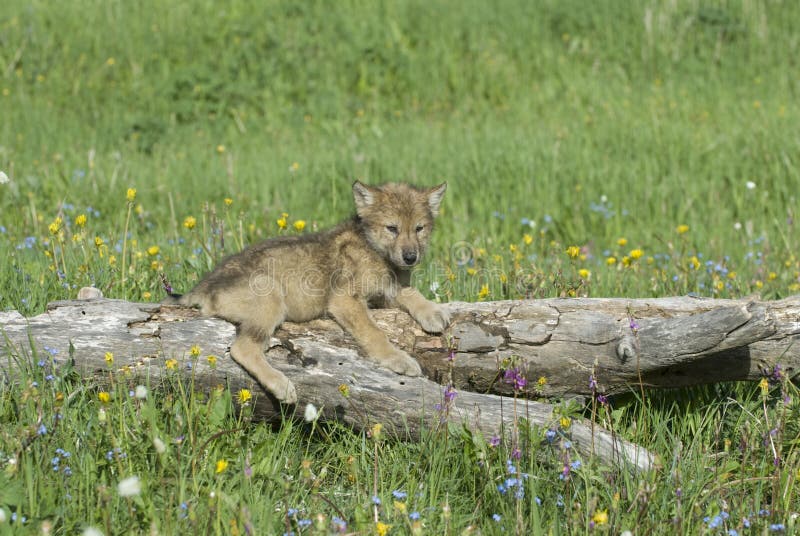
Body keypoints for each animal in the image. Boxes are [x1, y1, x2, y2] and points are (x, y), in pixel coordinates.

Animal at [174, 181, 450, 403]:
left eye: (419, 228)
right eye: (392, 228)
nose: (411, 257)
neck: (373, 248)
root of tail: (202, 287)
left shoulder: (386, 291)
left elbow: (411, 293)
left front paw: (433, 312)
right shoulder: (345, 300)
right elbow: (375, 333)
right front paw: (397, 359)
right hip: (271, 297)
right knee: (241, 348)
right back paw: (281, 385)